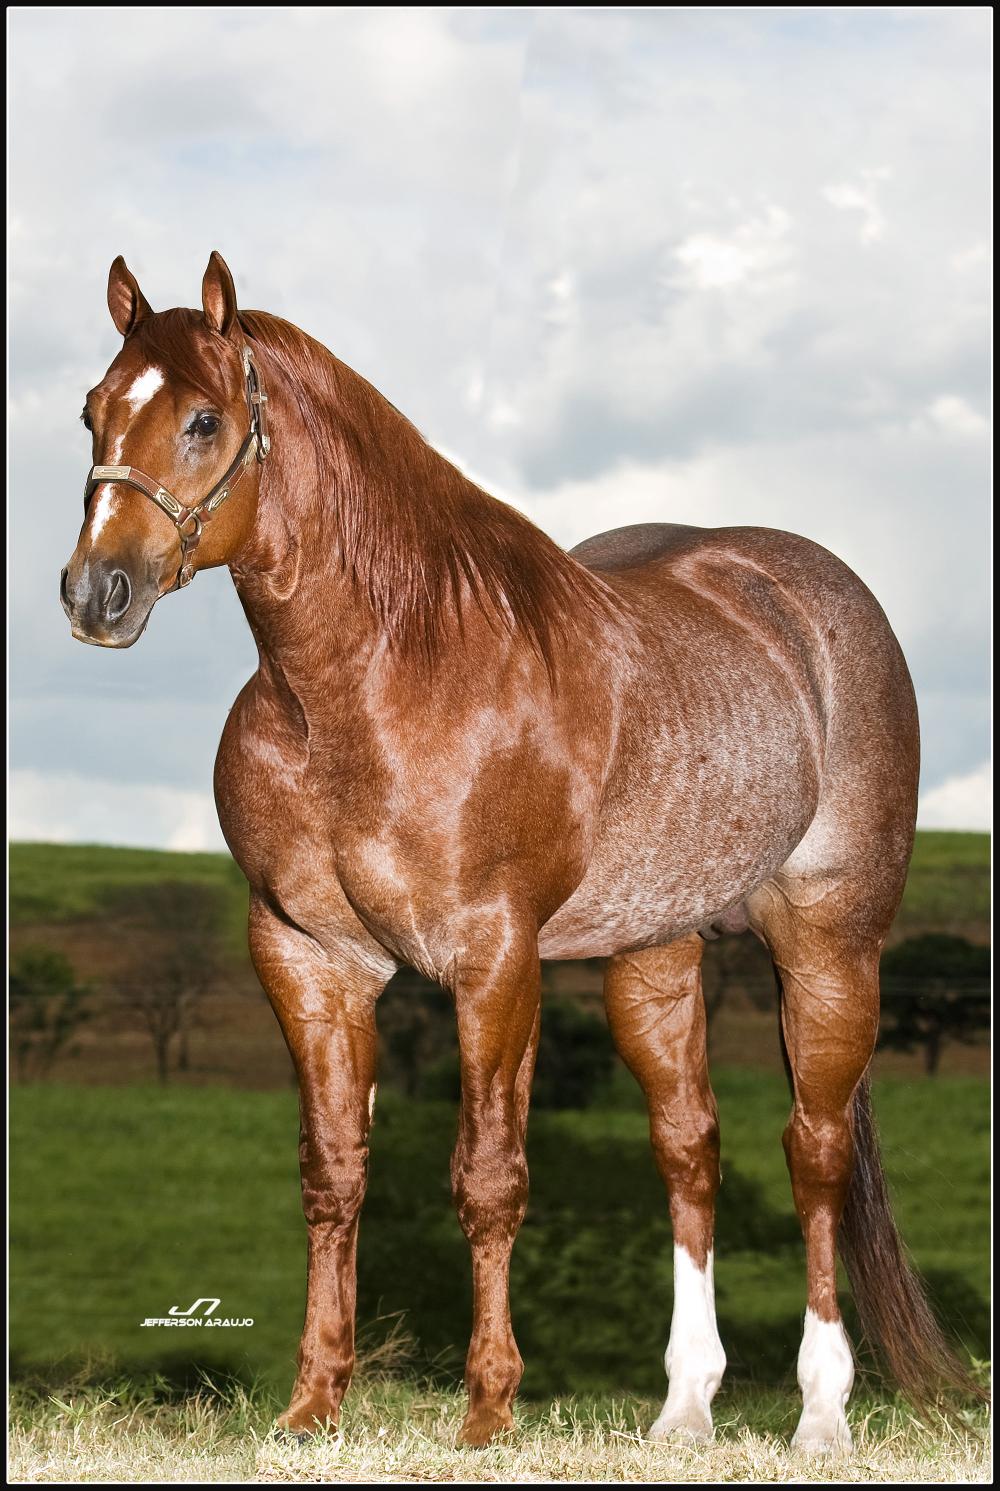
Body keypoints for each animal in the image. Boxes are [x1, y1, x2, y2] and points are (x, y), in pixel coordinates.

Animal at [61, 252, 971, 1453]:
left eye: (205, 419)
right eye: (91, 411)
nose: (94, 593)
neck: (375, 681)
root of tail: (814, 598)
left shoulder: (491, 960)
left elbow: (488, 1176)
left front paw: (488, 1408)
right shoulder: (308, 961)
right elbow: (333, 1174)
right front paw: (313, 1403)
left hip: (828, 944)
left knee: (813, 1151)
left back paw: (821, 1414)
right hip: (654, 955)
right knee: (689, 1146)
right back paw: (684, 1408)